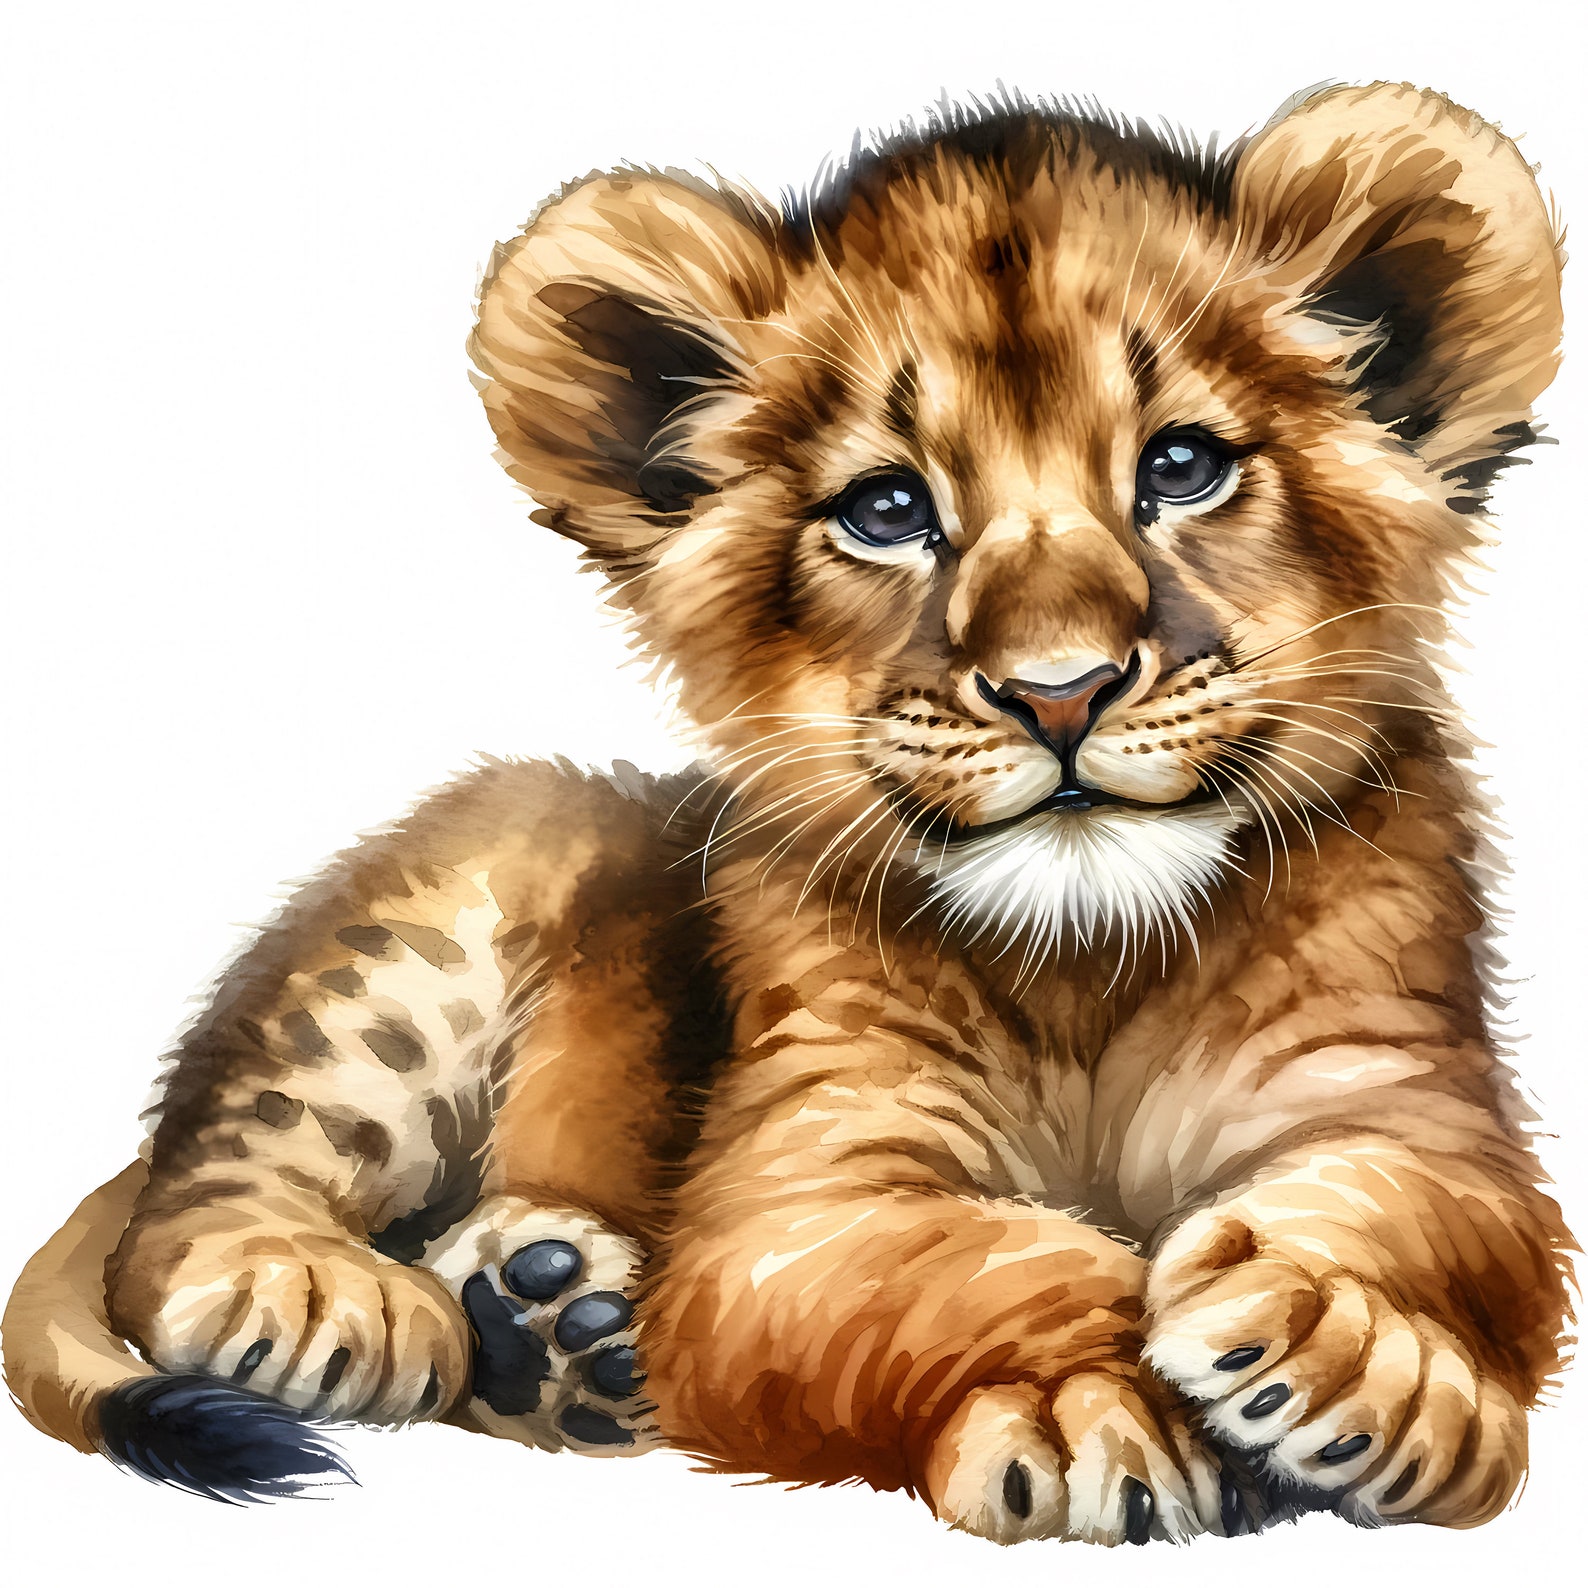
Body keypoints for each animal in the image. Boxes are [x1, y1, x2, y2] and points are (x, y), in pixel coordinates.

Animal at [2, 80, 1573, 1546]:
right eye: (885, 511)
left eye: (1181, 468)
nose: (1058, 692)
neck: (1087, 966)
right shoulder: (792, 1190)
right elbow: (982, 1259)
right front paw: (1086, 1401)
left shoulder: (1398, 1098)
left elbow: (1415, 1214)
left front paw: (1344, 1355)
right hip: (452, 904)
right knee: (197, 1197)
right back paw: (342, 1291)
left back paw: (550, 1324)